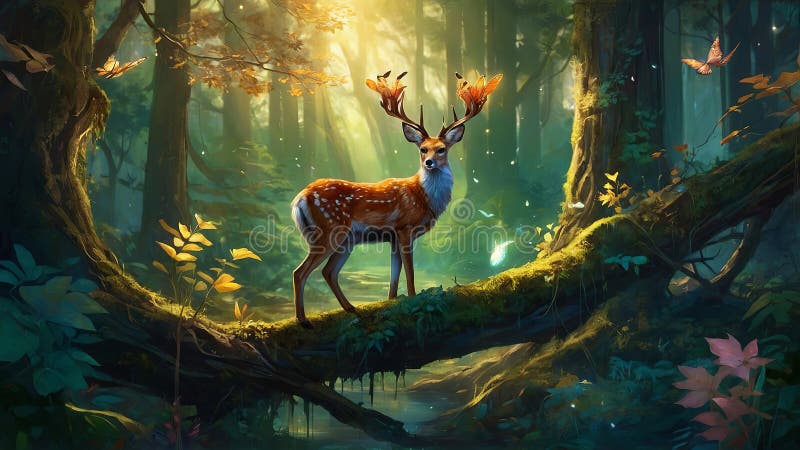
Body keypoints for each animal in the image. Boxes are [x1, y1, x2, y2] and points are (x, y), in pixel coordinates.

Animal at [290, 70, 502, 328]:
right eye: (422, 149)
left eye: (442, 149)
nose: (429, 162)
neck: (423, 198)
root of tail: (299, 198)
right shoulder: (404, 228)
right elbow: (409, 272)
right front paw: (413, 300)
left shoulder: (391, 237)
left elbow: (394, 275)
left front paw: (391, 303)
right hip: (328, 229)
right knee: (300, 272)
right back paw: (303, 320)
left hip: (347, 240)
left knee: (328, 272)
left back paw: (351, 309)